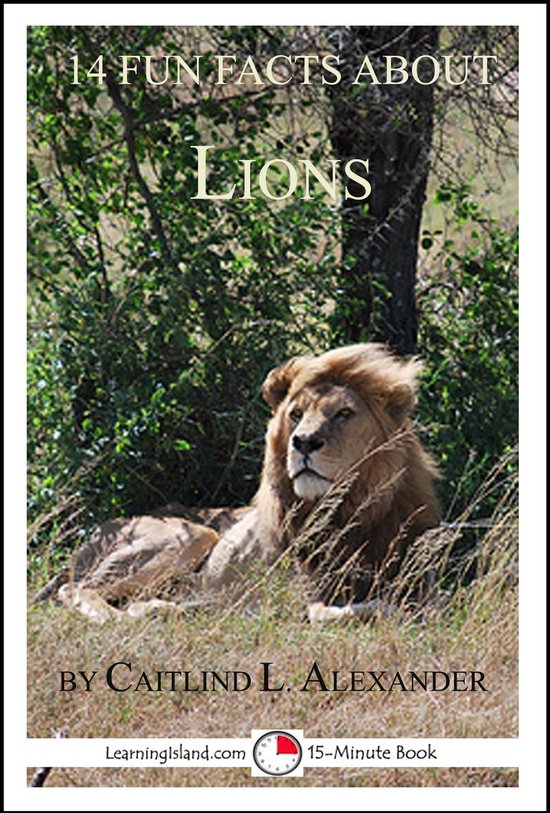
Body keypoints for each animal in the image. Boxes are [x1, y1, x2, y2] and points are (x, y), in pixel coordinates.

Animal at [39, 343, 441, 622]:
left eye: (344, 413)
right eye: (296, 415)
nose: (303, 442)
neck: (347, 510)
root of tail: (95, 531)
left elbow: (416, 605)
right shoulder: (300, 596)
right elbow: (344, 612)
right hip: (190, 534)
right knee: (76, 589)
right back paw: (131, 614)